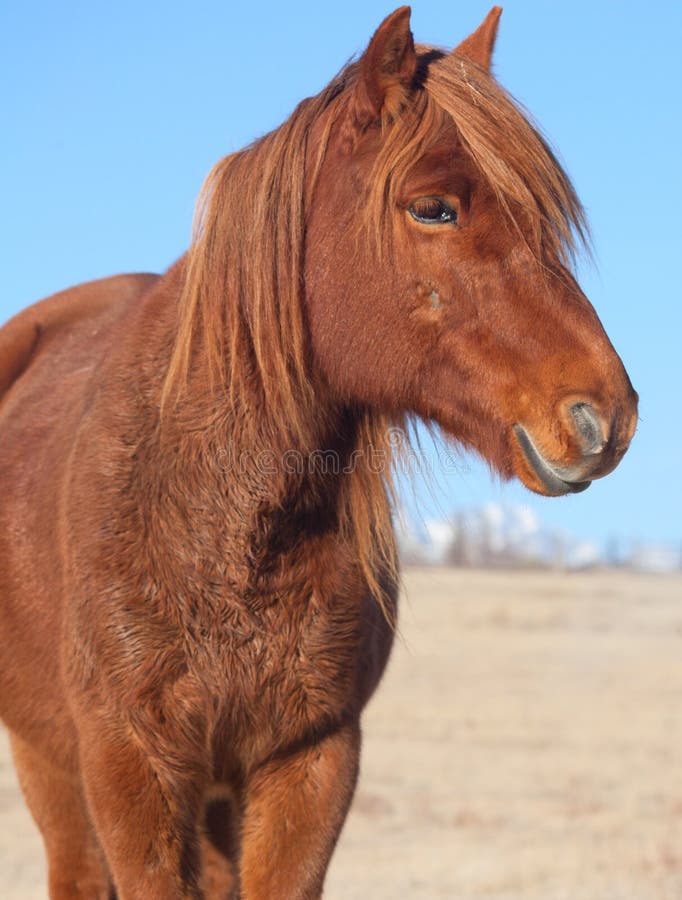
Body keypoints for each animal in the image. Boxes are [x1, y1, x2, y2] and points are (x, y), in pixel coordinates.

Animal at [0, 6, 638, 898]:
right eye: (433, 208)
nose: (606, 418)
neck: (217, 524)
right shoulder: (129, 768)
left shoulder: (312, 759)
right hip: (50, 764)